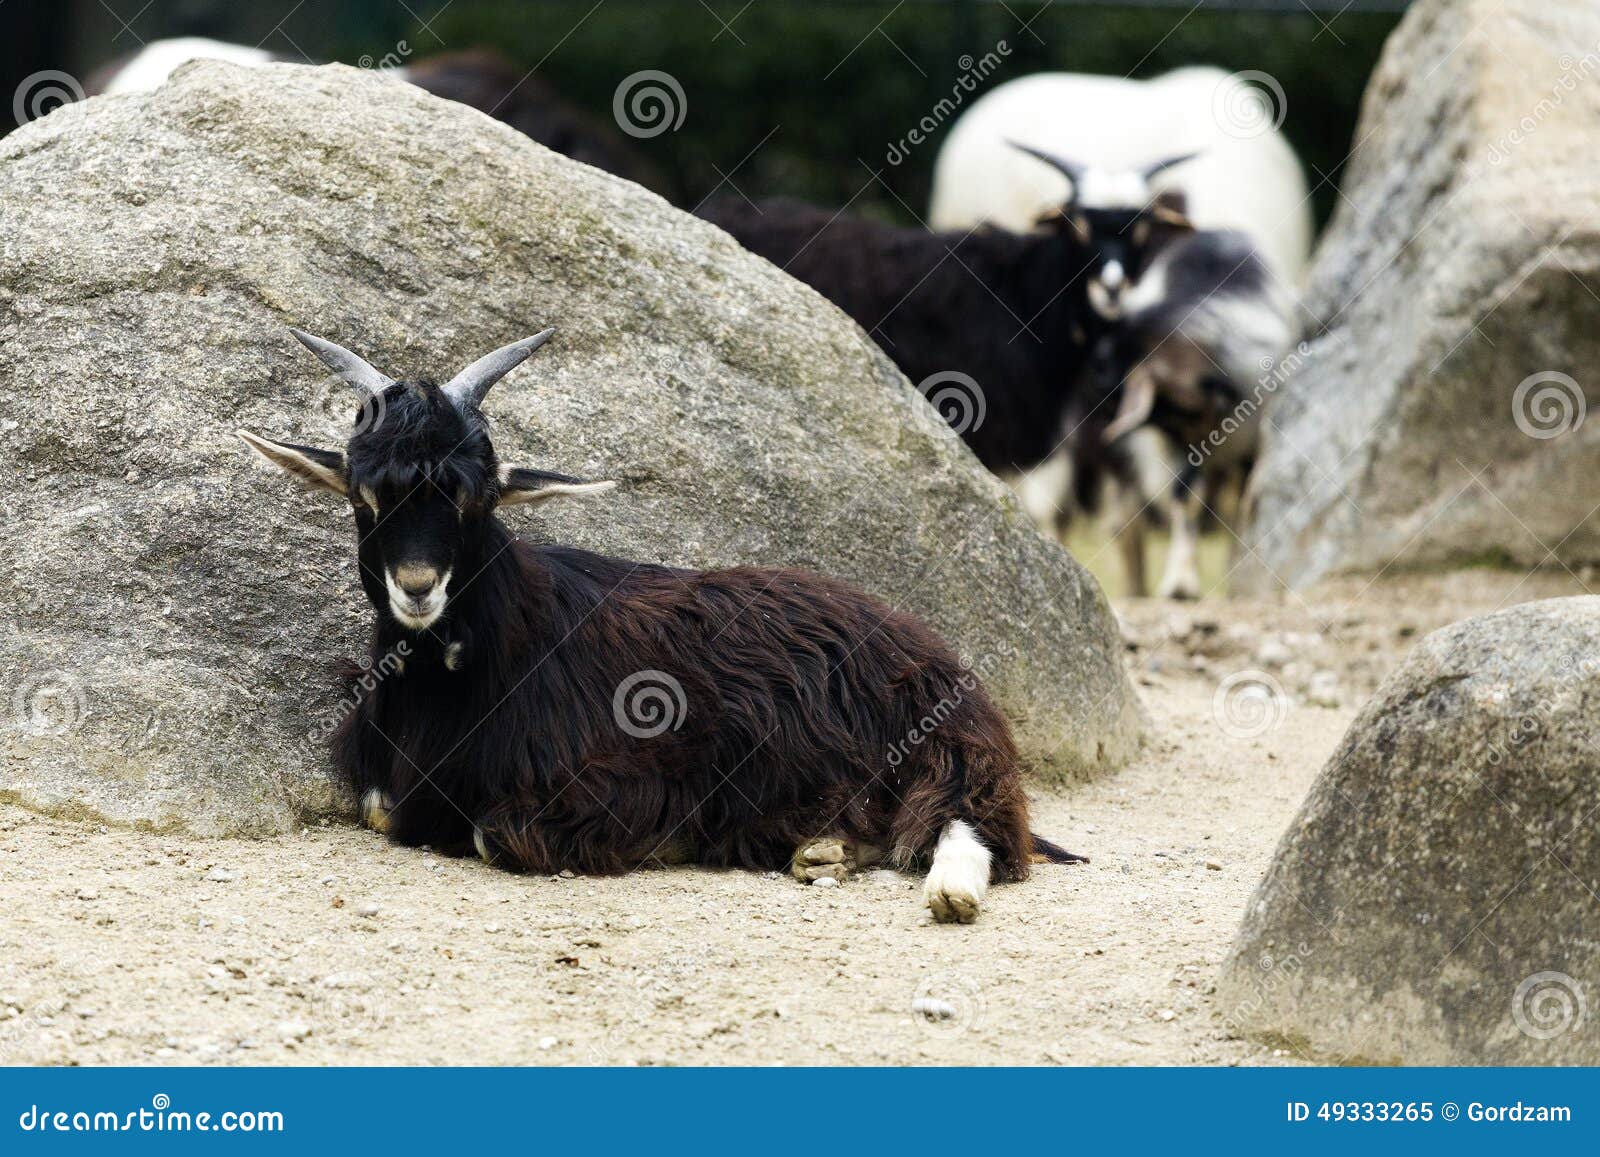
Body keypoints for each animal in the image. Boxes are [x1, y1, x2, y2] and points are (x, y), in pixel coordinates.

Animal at [239, 328, 1084, 923]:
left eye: (475, 497)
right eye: (365, 497)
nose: (418, 587)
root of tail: (919, 639)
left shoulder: (611, 778)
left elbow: (489, 831)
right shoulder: (386, 781)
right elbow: (382, 808)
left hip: (939, 742)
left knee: (973, 820)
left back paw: (947, 890)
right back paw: (824, 846)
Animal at [1087, 229, 1298, 599]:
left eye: (1111, 380)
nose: (1103, 436)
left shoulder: (1250, 447)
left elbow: (1240, 507)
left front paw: (1235, 568)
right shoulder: (1179, 447)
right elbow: (1184, 498)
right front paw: (1180, 582)